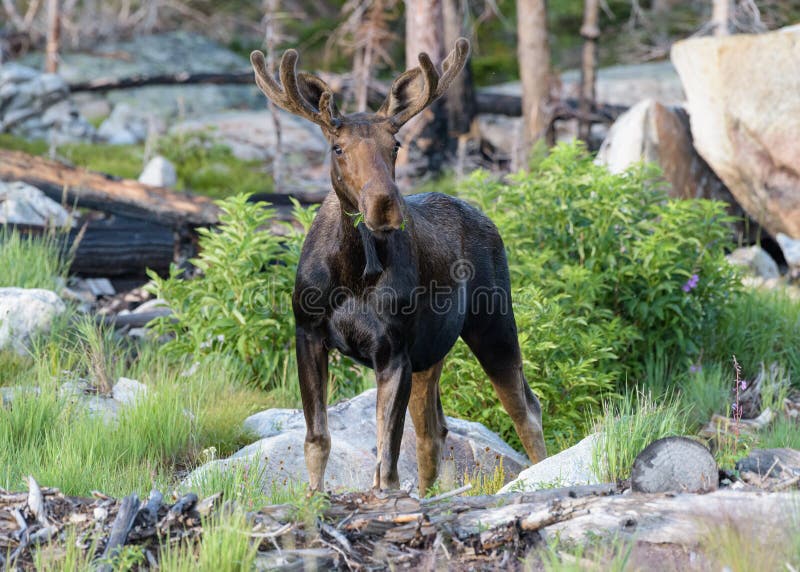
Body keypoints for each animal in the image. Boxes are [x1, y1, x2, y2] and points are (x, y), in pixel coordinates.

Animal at [250, 38, 547, 494]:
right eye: (337, 148)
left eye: (395, 146)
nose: (384, 204)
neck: (353, 271)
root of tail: (489, 221)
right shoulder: (308, 333)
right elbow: (317, 439)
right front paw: (314, 498)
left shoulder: (393, 350)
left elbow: (386, 460)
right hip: (433, 351)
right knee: (433, 431)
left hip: (492, 323)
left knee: (526, 409)